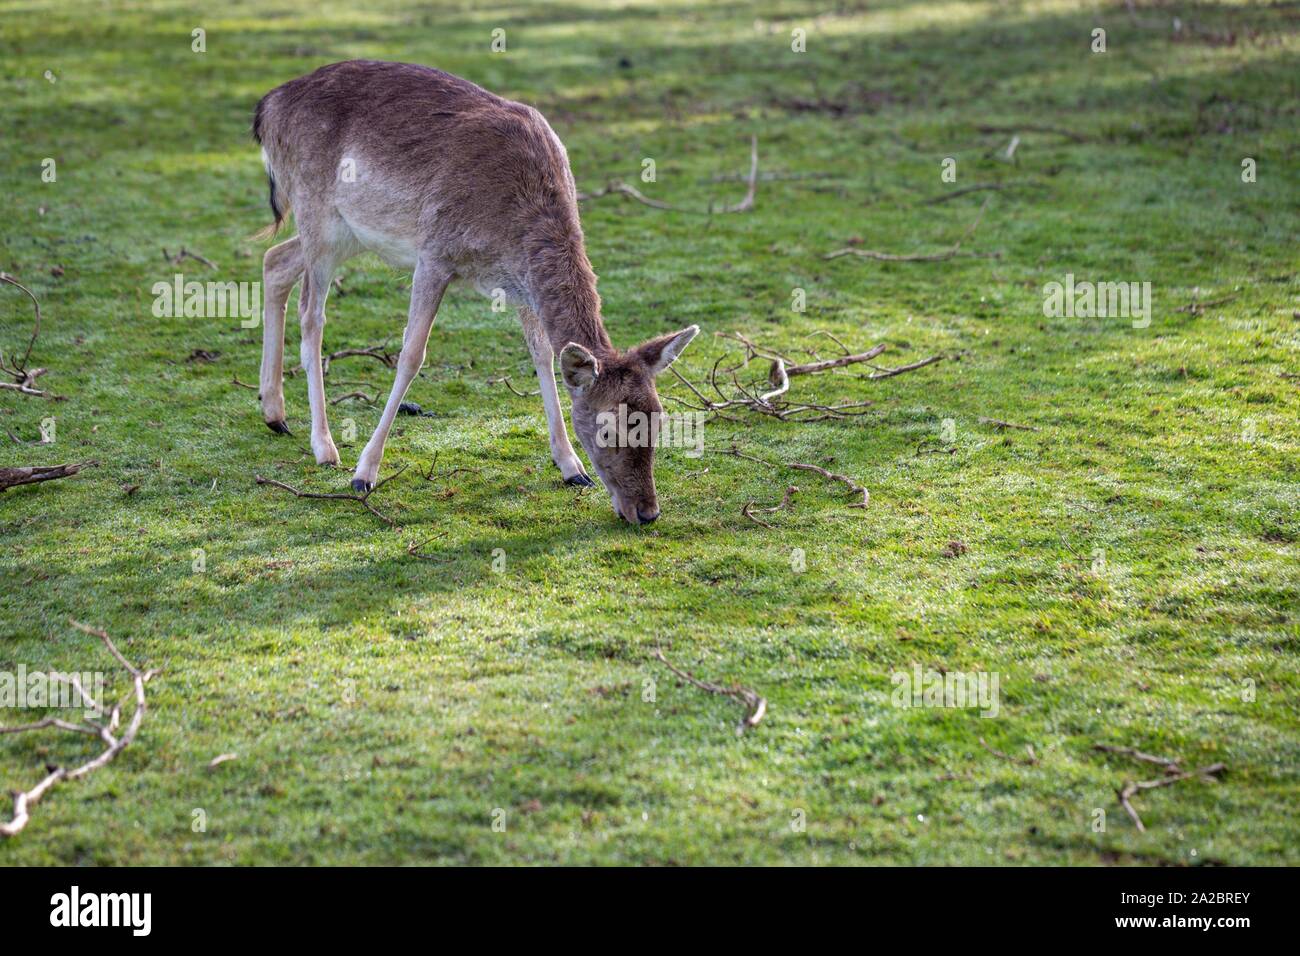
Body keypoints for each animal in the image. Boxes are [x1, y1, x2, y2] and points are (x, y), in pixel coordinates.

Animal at [251, 60, 699, 525]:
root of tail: (267, 107)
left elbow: (542, 355)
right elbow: (411, 355)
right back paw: (325, 447)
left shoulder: (520, 284)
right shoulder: (434, 253)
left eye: (658, 417)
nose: (647, 511)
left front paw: (571, 467)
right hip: (316, 211)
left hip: (347, 234)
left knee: (274, 260)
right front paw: (365, 473)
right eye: (608, 426)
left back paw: (274, 413)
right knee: (311, 314)